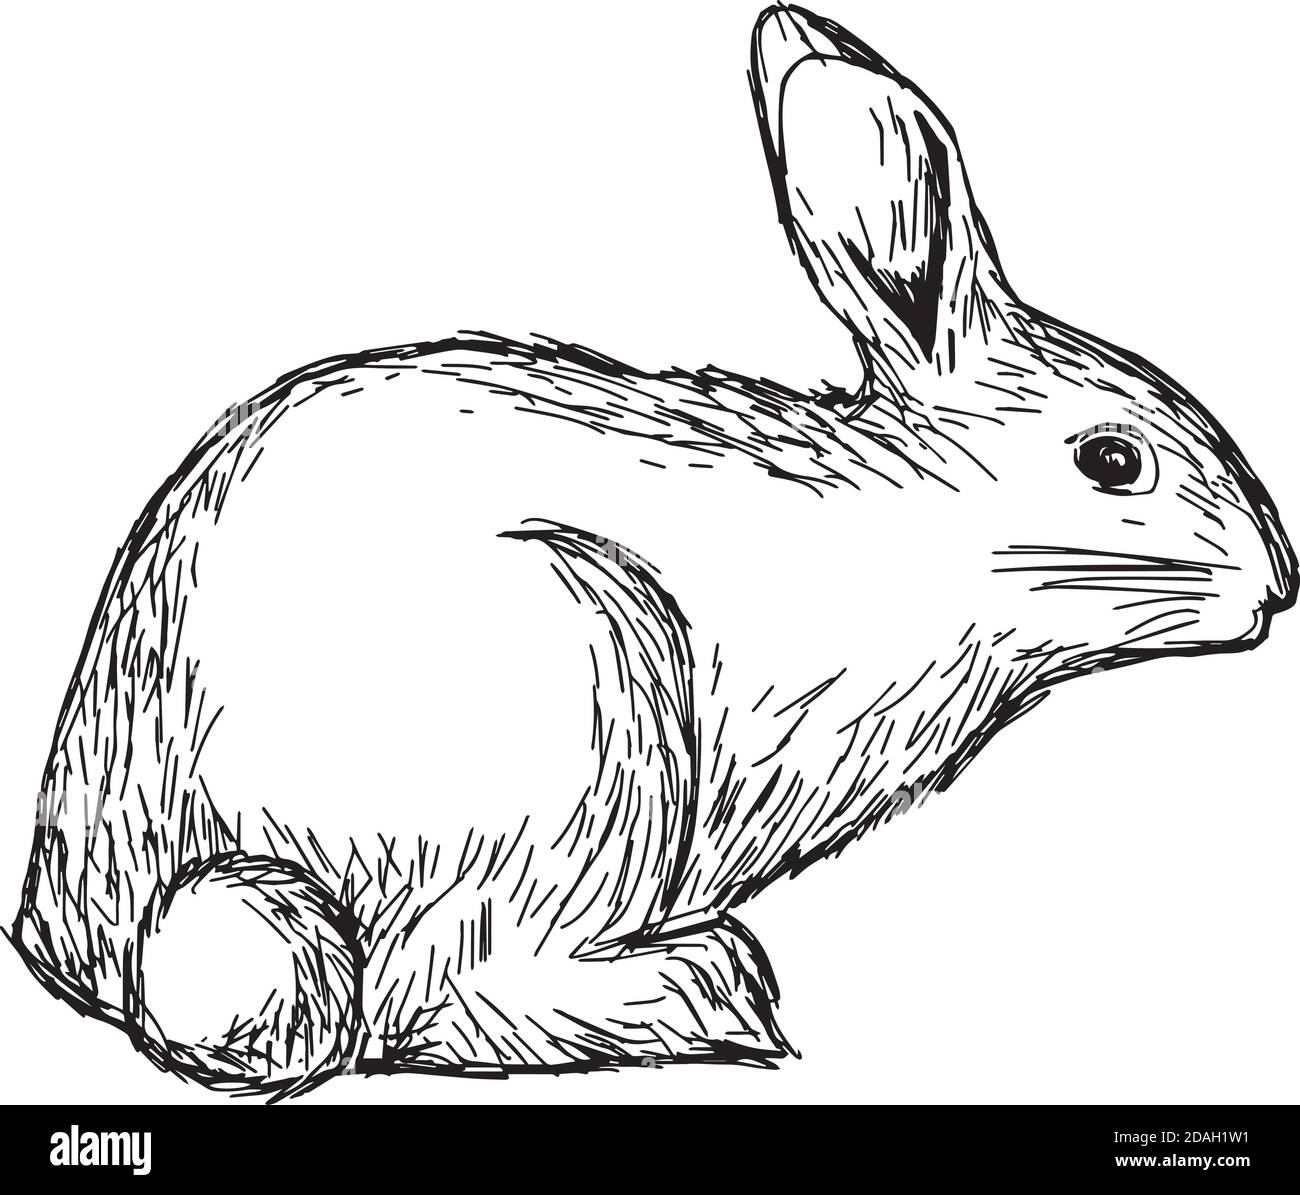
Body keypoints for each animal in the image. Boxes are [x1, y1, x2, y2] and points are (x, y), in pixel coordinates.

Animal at [10, 3, 1295, 1099]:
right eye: (1113, 461)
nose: (1278, 584)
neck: (915, 533)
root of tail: (96, 908)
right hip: (584, 687)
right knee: (445, 998)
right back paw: (705, 996)